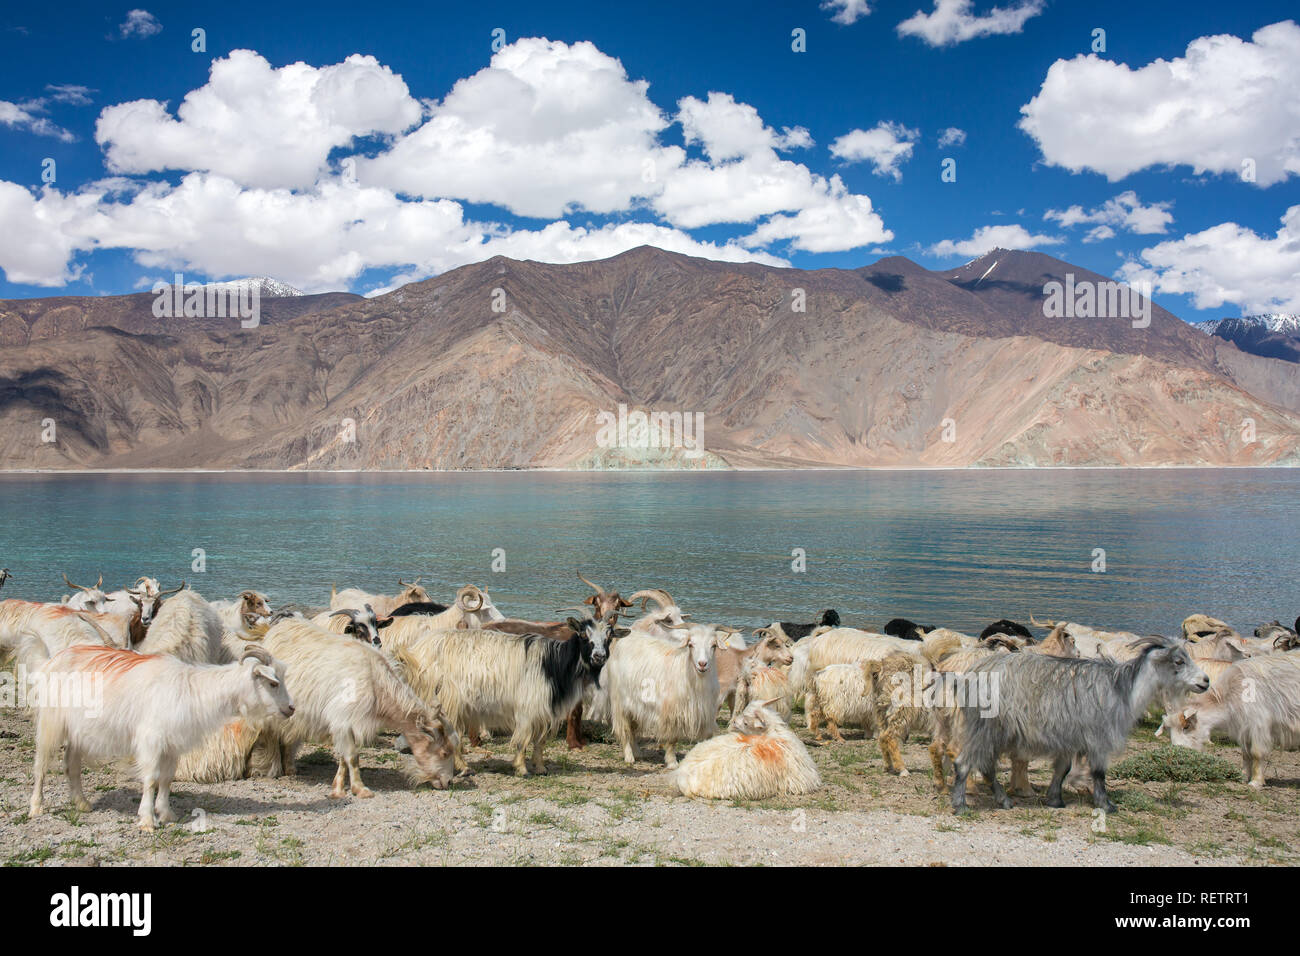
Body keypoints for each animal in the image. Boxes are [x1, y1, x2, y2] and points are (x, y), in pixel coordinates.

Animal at [28, 643, 293, 830]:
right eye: (273, 683)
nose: (291, 708)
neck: (191, 690)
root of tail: (51, 660)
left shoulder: (172, 745)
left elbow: (166, 779)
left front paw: (167, 814)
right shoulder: (151, 741)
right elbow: (151, 779)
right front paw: (147, 820)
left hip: (77, 731)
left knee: (71, 764)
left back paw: (82, 804)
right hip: (51, 721)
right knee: (41, 764)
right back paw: (36, 807)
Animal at [951, 636, 1209, 813]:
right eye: (1178, 661)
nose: (1205, 681)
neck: (1123, 690)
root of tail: (971, 675)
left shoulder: (1069, 737)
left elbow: (1062, 769)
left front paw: (1055, 800)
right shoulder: (1098, 736)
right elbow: (1099, 772)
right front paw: (1106, 805)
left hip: (995, 732)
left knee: (986, 766)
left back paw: (1004, 800)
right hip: (985, 727)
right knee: (963, 763)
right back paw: (961, 805)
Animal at [1159, 655, 1300, 787]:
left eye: (1187, 726)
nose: (1178, 749)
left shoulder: (1258, 724)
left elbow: (1256, 753)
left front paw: (1255, 782)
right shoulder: (1244, 727)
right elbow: (1245, 753)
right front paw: (1243, 776)